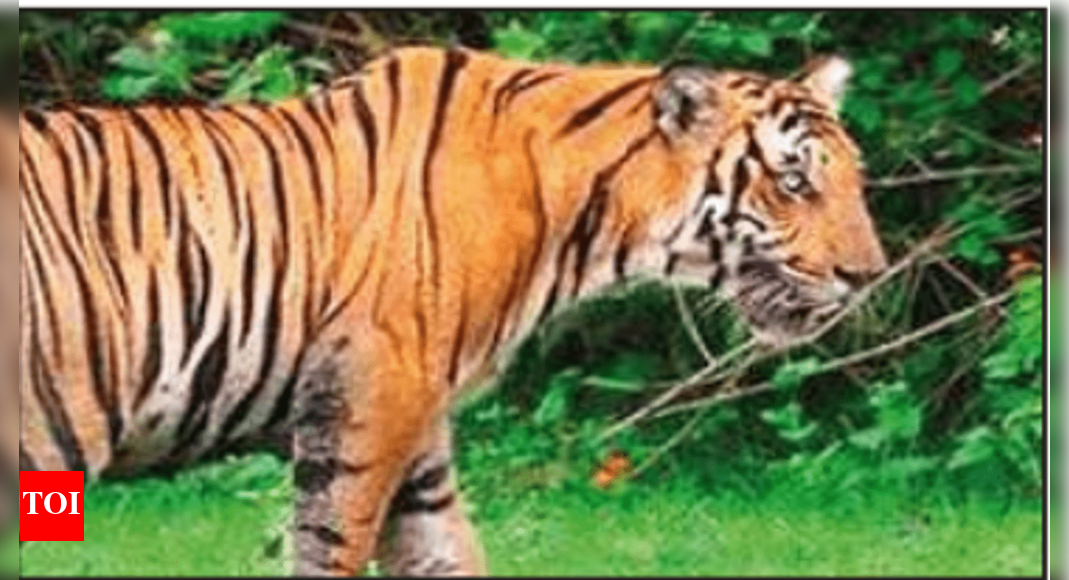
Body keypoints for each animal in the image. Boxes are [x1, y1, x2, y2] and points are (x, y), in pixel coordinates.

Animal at [12, 46, 887, 576]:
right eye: (793, 182)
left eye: (853, 178)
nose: (868, 276)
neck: (588, 214)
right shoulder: (369, 396)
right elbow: (330, 546)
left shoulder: (419, 423)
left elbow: (447, 551)